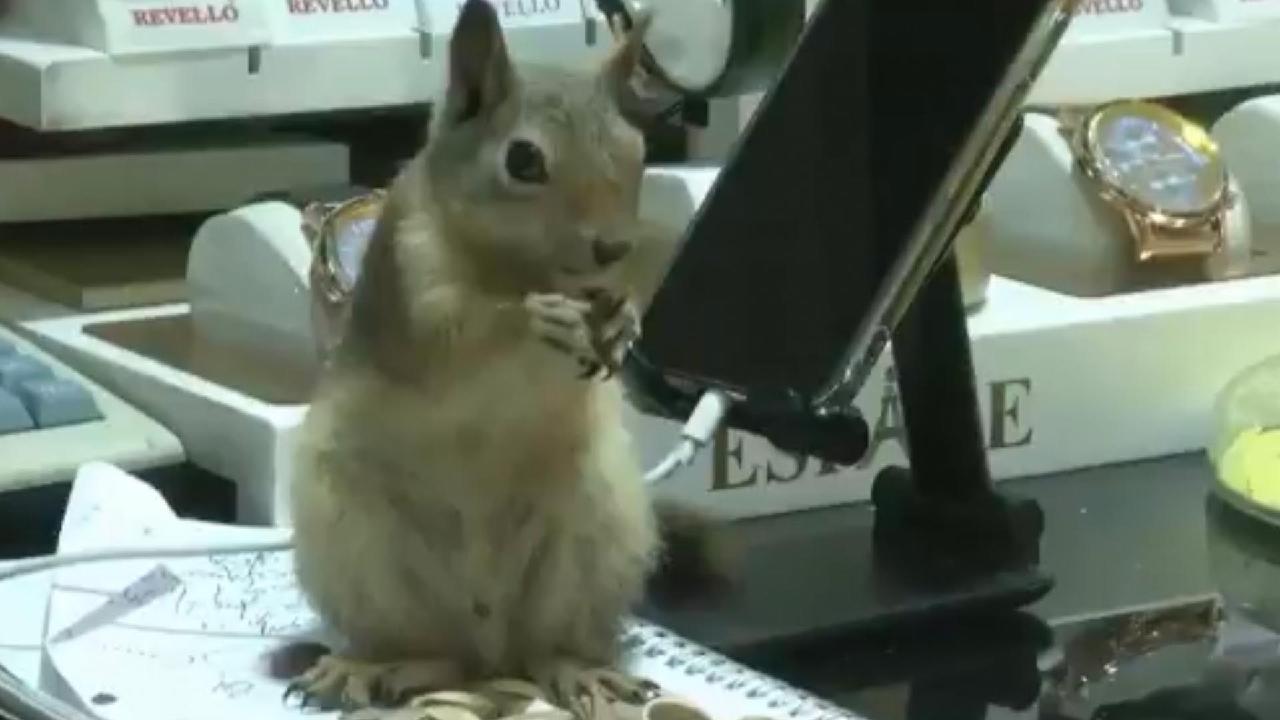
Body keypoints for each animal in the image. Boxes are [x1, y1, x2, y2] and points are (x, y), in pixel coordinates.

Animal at [283, 1, 728, 716]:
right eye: (523, 160)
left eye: (637, 150)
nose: (613, 246)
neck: (519, 266)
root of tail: (488, 641)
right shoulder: (410, 282)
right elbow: (454, 334)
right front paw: (538, 317)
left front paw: (623, 323)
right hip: (356, 545)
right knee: (431, 652)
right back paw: (371, 667)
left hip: (594, 530)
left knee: (542, 649)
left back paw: (582, 672)